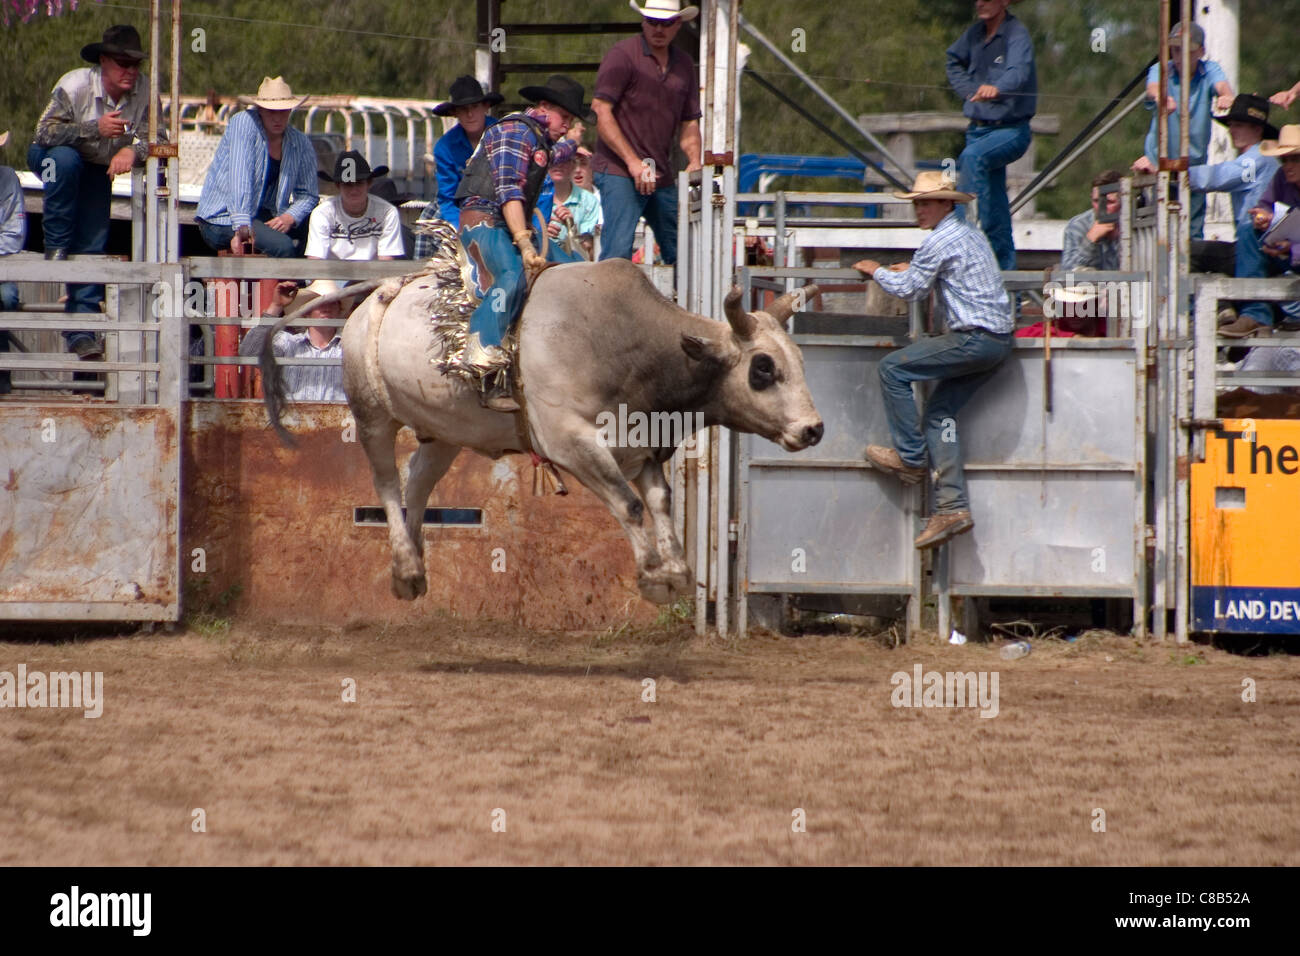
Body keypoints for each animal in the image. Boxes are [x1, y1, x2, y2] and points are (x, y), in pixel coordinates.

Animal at [260, 258, 822, 605]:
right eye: (763, 368)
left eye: (798, 360)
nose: (813, 429)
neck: (622, 340)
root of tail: (381, 292)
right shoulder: (570, 440)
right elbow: (629, 504)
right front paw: (654, 577)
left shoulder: (641, 446)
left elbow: (659, 501)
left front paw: (678, 571)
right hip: (372, 412)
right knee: (385, 483)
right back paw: (404, 560)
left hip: (442, 432)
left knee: (416, 481)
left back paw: (411, 568)